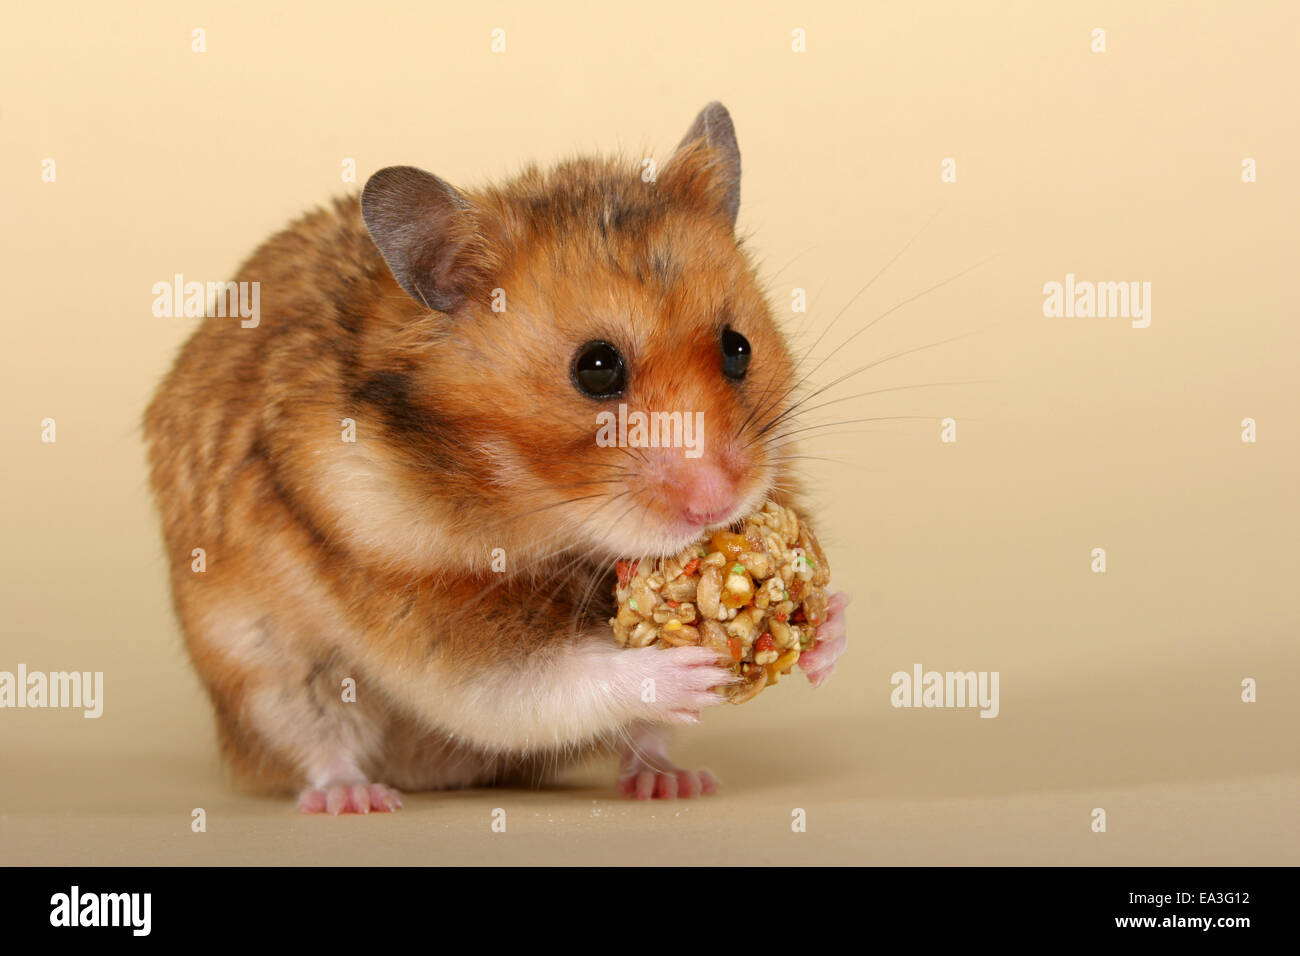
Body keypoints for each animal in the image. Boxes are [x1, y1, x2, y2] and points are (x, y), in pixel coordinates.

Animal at [144, 102, 848, 812]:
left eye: (738, 348)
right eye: (596, 369)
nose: (717, 505)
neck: (542, 512)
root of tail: (435, 775)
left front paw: (828, 630)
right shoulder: (415, 602)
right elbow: (537, 682)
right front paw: (688, 669)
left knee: (643, 744)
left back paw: (672, 782)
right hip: (268, 675)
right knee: (318, 744)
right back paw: (357, 799)